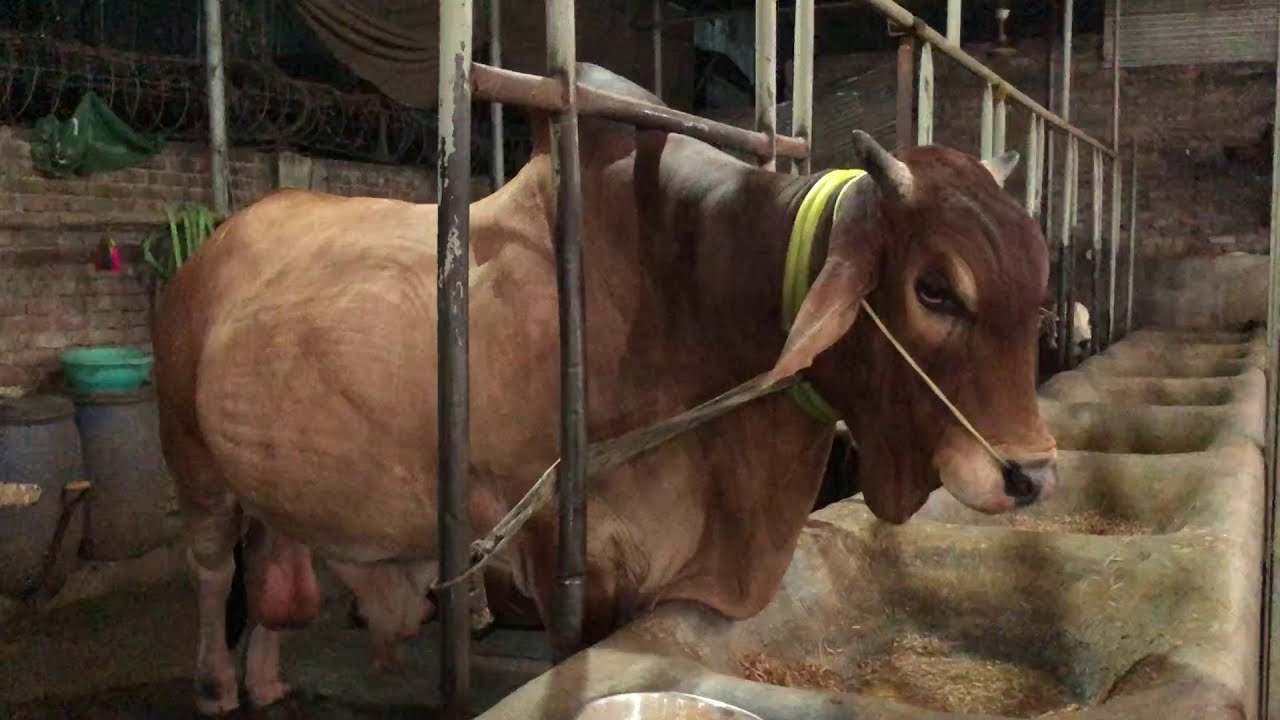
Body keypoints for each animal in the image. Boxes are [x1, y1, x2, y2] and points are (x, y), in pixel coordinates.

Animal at [152, 64, 1057, 715]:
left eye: (1039, 282)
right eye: (935, 288)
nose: (1031, 475)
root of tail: (217, 242)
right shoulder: (567, 551)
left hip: (272, 475)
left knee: (271, 554)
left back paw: (266, 679)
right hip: (191, 457)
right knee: (212, 571)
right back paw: (217, 685)